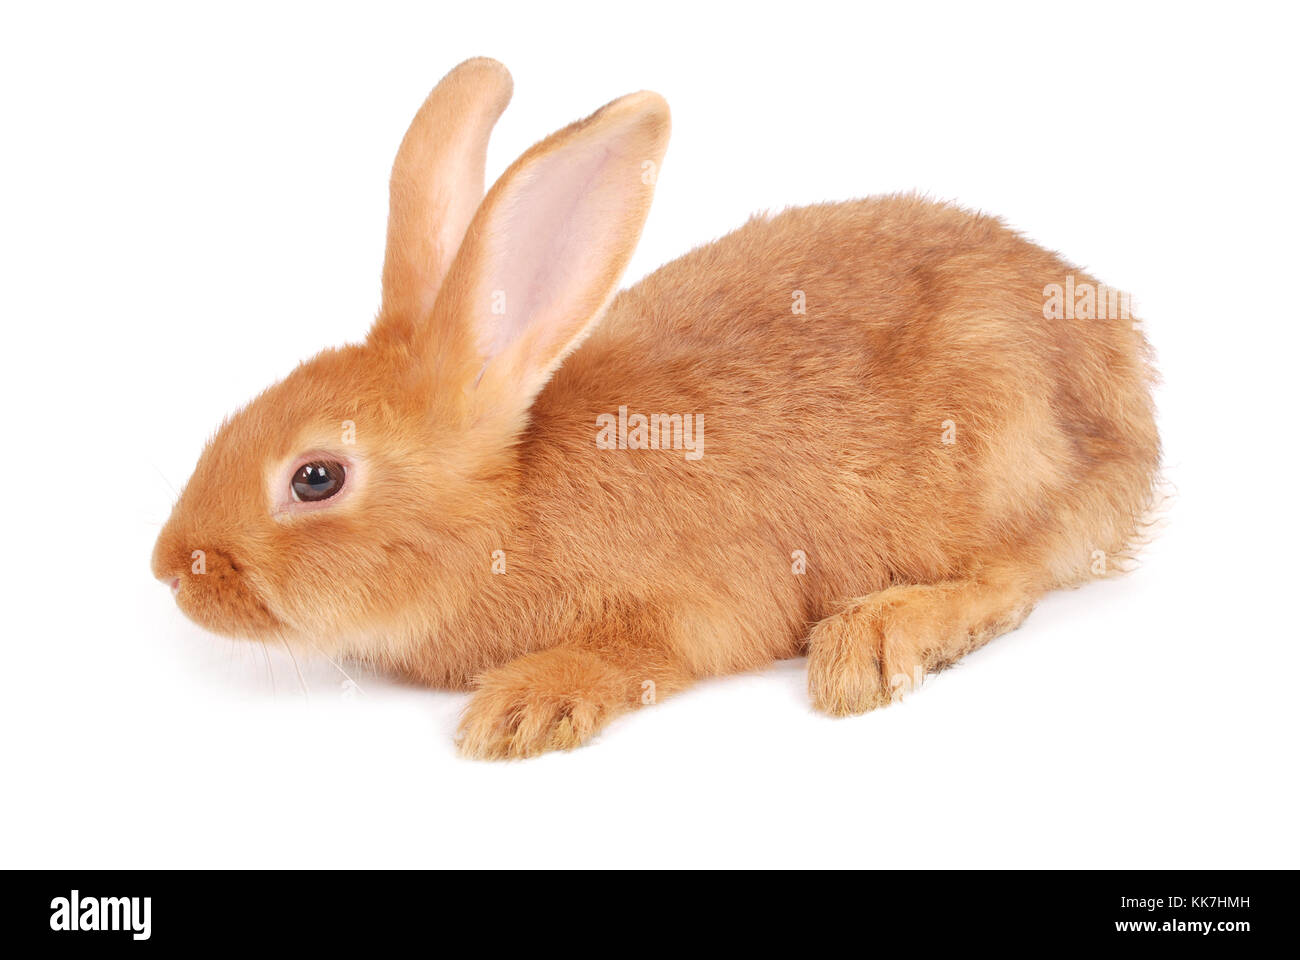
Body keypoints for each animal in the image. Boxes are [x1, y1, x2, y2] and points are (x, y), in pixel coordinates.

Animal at [152, 57, 1160, 759]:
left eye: (316, 477)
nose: (171, 568)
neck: (508, 509)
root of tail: (1125, 379)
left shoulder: (695, 605)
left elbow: (642, 652)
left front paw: (523, 709)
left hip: (1000, 445)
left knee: (1010, 581)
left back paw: (870, 642)